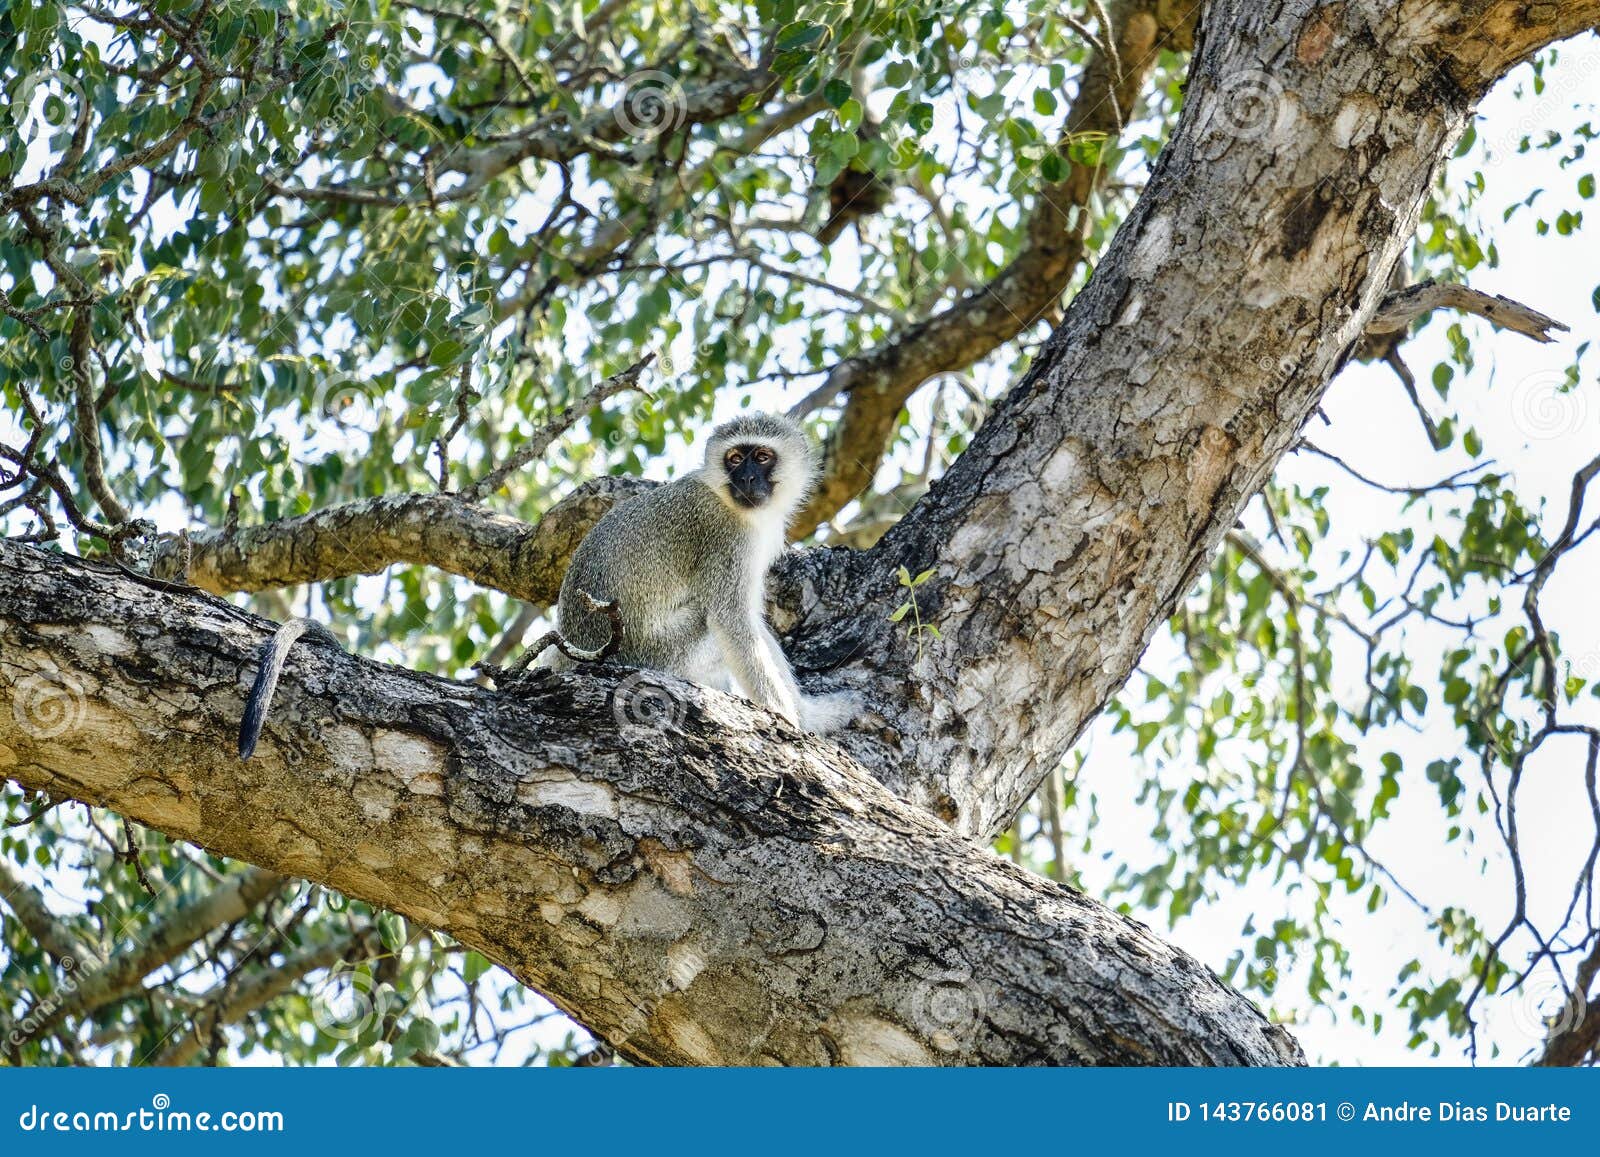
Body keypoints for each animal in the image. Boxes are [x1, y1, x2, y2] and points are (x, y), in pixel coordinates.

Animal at [551, 411, 856, 733]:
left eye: (762, 457)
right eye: (735, 458)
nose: (746, 478)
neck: (722, 497)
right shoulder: (727, 537)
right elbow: (730, 621)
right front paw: (787, 719)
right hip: (666, 655)